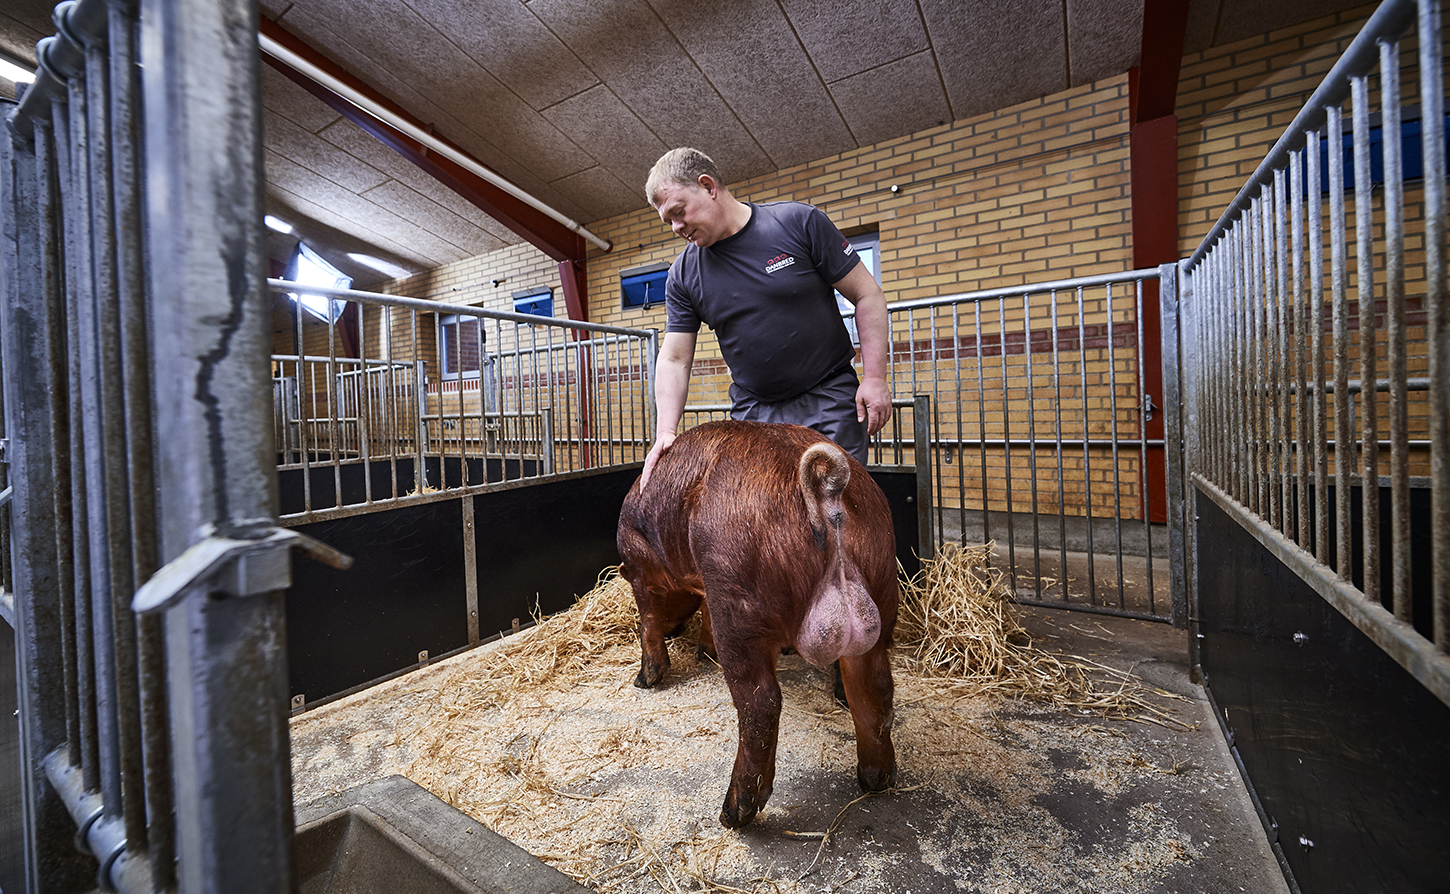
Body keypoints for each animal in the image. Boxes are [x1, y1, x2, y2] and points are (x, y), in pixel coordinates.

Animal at [616, 420, 897, 828]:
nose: (677, 631)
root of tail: (825, 488)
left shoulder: (642, 571)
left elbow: (648, 620)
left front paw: (645, 680)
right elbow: (704, 614)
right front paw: (703, 653)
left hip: (740, 601)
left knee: (761, 703)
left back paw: (733, 813)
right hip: (881, 584)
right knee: (874, 689)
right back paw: (875, 780)